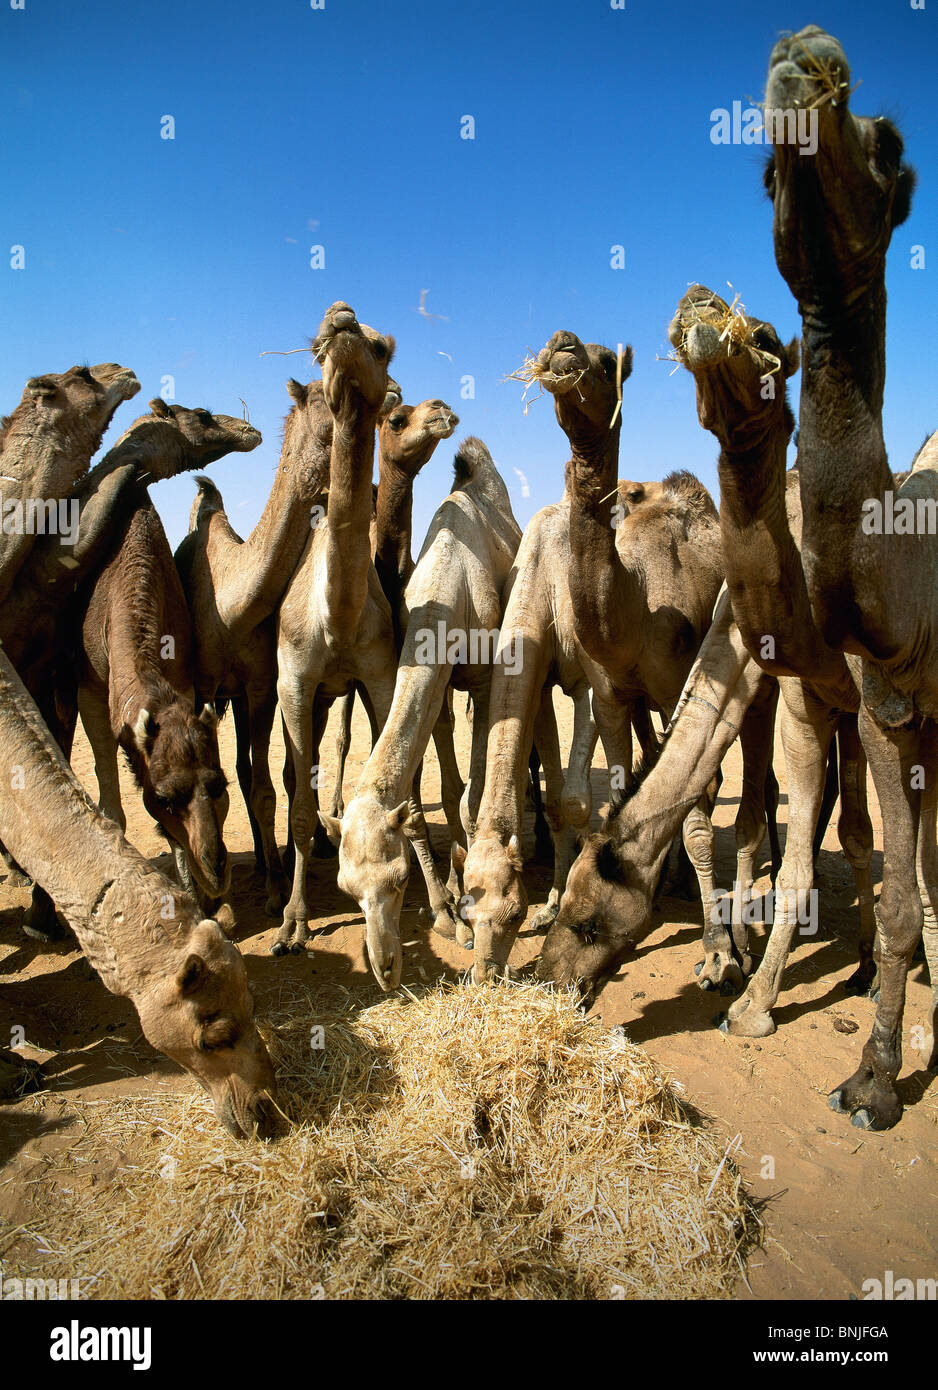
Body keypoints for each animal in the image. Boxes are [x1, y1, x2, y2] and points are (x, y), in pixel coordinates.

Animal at [318, 435, 522, 990]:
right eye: (346, 889)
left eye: (399, 879)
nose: (385, 969)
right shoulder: (432, 676)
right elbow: (433, 799)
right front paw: (450, 911)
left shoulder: (482, 679)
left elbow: (472, 797)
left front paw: (468, 901)